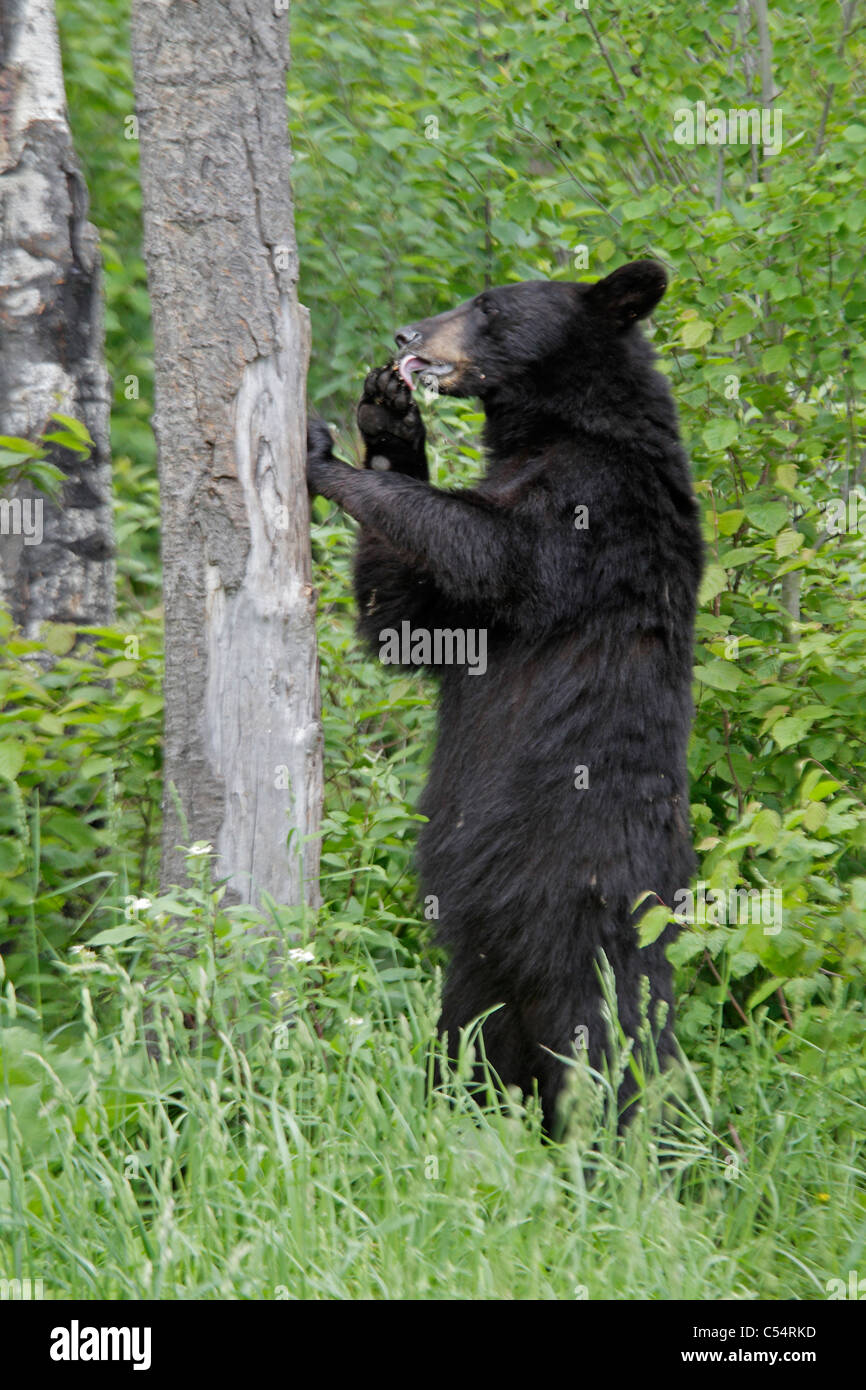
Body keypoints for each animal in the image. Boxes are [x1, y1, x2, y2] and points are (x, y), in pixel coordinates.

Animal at [307, 259, 704, 1134]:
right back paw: (461, 1112)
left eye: (489, 309)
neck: (561, 425)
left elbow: (489, 547)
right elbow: (409, 623)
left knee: (612, 1039)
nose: (408, 335)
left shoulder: (597, 506)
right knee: (470, 1033)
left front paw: (326, 456)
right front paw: (387, 420)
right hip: (477, 951)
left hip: (584, 907)